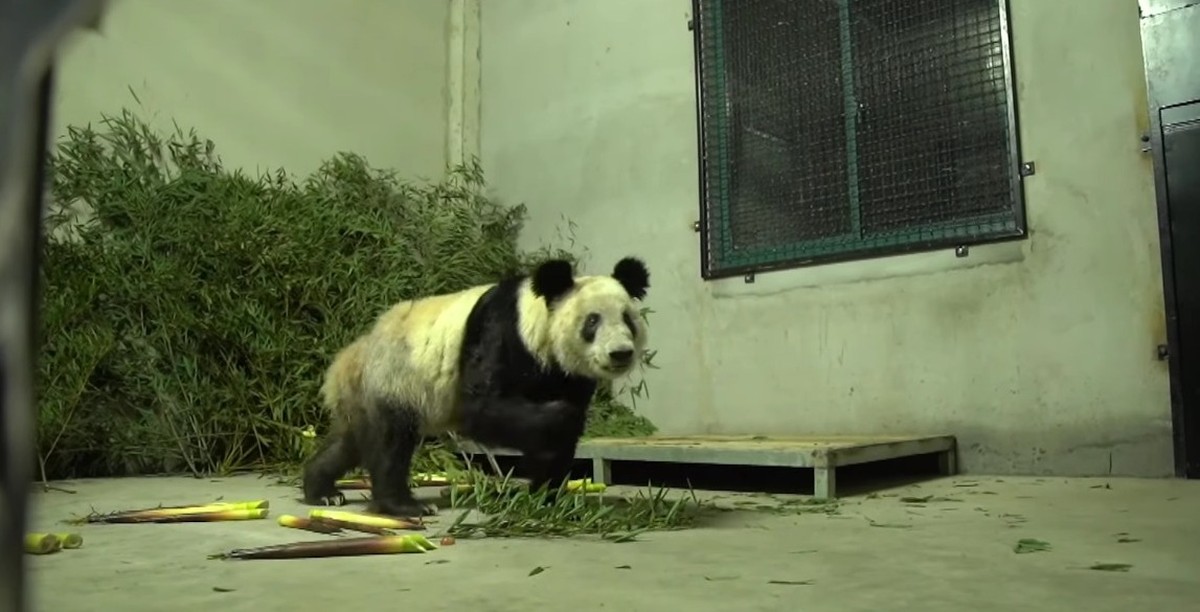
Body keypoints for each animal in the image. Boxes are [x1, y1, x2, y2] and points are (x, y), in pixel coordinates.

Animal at [301, 256, 651, 517]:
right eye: (592, 321)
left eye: (627, 319)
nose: (620, 353)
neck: (537, 321)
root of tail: (352, 356)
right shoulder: (500, 333)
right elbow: (482, 407)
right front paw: (558, 426)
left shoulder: (566, 374)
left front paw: (547, 495)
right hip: (396, 377)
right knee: (391, 440)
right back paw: (404, 505)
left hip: (365, 394)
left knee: (351, 442)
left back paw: (322, 491)